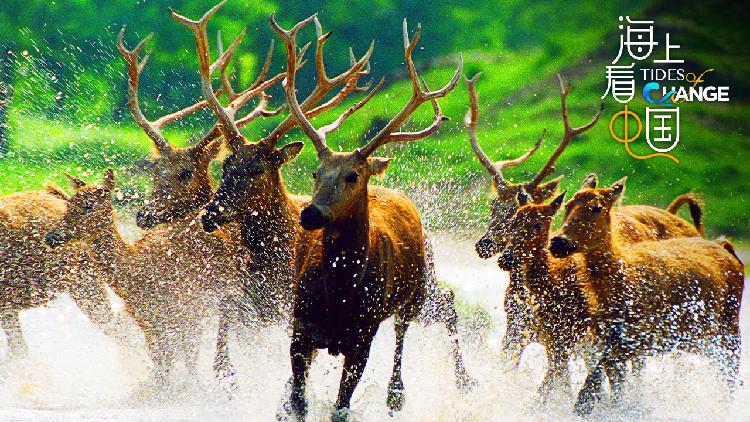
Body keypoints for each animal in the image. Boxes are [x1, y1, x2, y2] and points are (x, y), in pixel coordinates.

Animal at [44, 170, 253, 393]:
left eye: (88, 205)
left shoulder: (186, 310)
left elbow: (185, 360)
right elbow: (162, 363)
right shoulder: (148, 321)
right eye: (69, 203)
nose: (52, 236)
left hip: (229, 292)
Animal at [272, 15, 473, 420]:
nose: (310, 214)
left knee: (408, 332)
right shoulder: (300, 327)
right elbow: (298, 401)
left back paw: (404, 392)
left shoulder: (362, 337)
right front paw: (287, 402)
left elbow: (340, 408)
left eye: (352, 175)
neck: (339, 293)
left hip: (416, 291)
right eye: (315, 173)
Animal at [549, 177, 744, 415]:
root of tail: (727, 250)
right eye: (567, 205)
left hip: (729, 331)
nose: (558, 242)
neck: (618, 283)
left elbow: (593, 385)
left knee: (731, 376)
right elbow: (609, 385)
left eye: (597, 207)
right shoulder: (610, 341)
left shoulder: (642, 338)